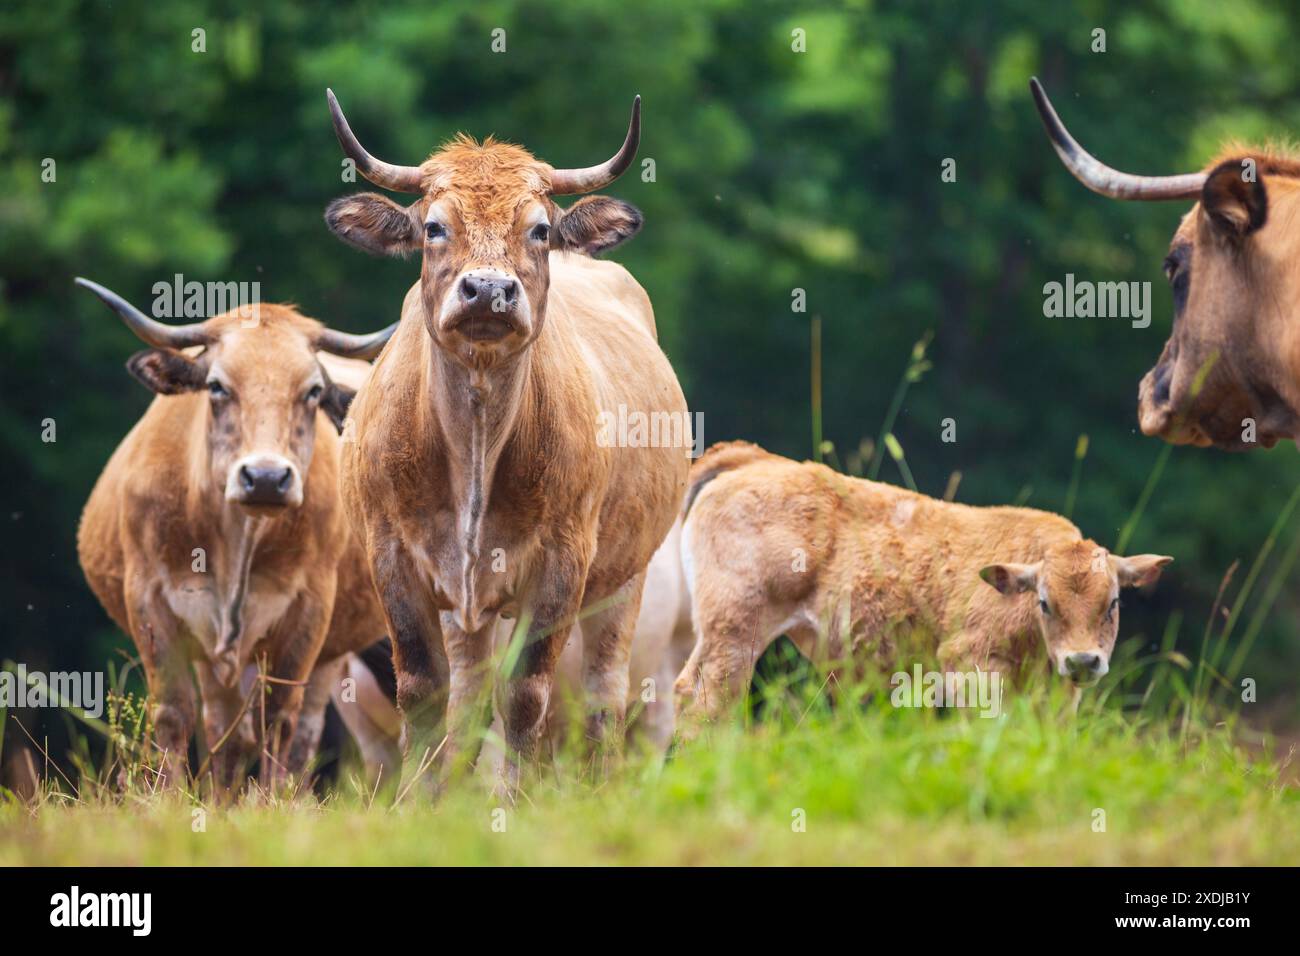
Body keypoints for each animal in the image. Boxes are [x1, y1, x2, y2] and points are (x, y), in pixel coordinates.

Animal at [74, 278, 396, 792]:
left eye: (312, 391)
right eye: (217, 386)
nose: (265, 477)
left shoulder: (309, 609)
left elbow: (279, 719)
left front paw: (267, 801)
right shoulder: (150, 599)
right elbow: (174, 713)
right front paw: (168, 798)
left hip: (330, 653)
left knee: (300, 730)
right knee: (224, 729)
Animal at [321, 91, 689, 793]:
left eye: (539, 229)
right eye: (434, 227)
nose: (488, 289)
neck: (475, 442)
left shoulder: (562, 563)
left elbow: (525, 696)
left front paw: (512, 801)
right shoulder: (395, 558)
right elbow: (426, 692)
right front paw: (419, 798)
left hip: (625, 580)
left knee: (604, 693)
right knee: (467, 694)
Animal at [673, 442, 1172, 726]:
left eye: (1113, 603)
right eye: (1045, 603)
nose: (1083, 660)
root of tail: (757, 460)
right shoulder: (971, 664)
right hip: (734, 632)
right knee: (704, 702)